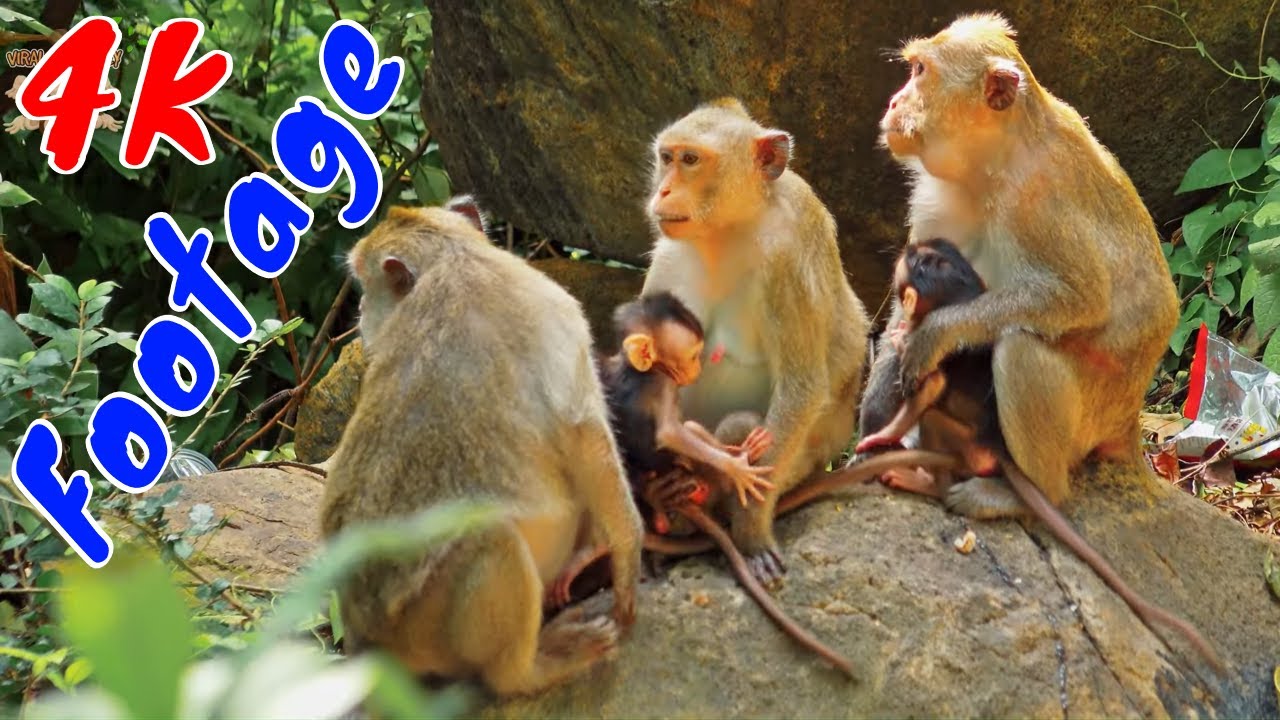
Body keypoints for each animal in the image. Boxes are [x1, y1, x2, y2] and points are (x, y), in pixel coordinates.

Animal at [320, 197, 644, 696]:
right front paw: (626, 552)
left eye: (363, 285)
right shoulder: (556, 309)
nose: (360, 309)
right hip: (428, 629)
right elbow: (583, 428)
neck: (455, 256)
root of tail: (373, 641)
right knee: (494, 537)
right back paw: (527, 670)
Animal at [641, 97, 870, 585]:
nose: (663, 192)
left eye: (691, 160)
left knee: (742, 427)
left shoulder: (790, 259)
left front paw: (750, 535)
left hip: (801, 468)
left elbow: (802, 389)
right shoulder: (668, 257)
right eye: (666, 158)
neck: (730, 229)